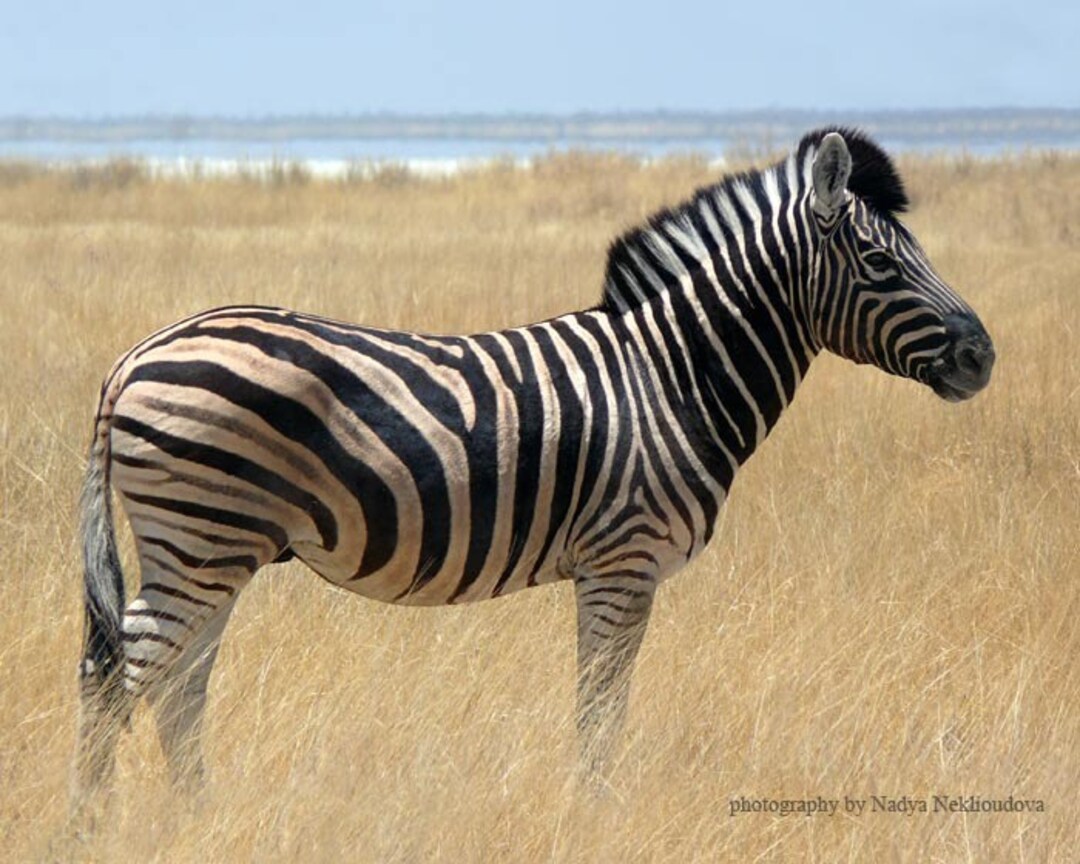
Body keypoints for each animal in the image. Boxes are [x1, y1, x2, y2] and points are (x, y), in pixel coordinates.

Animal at [74, 128, 994, 798]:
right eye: (881, 262)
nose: (982, 356)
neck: (673, 374)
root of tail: (131, 359)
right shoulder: (625, 559)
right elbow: (601, 708)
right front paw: (594, 811)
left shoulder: (611, 566)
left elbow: (597, 704)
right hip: (202, 539)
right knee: (119, 678)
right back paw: (96, 825)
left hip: (212, 549)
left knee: (173, 686)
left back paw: (197, 814)